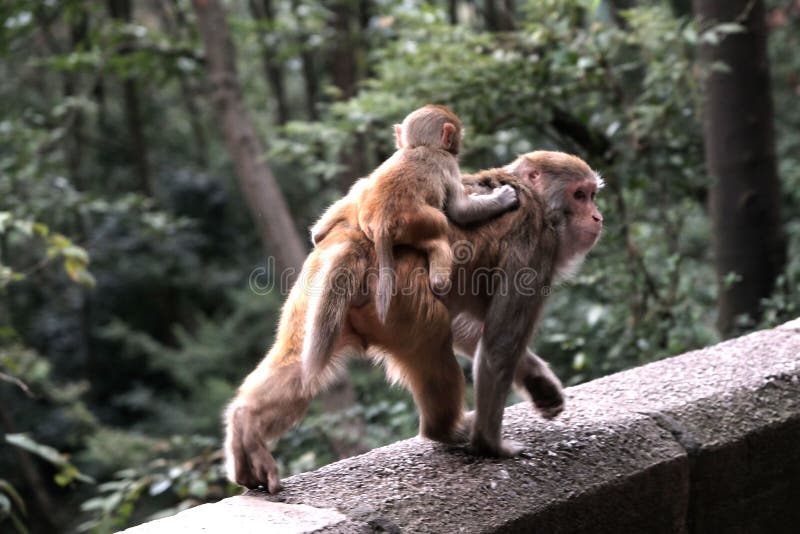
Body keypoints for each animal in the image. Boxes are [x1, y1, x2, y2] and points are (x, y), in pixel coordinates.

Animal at [224, 151, 603, 492]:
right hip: (404, 300)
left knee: (297, 367)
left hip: (315, 292)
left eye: (592, 194)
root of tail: (359, 244)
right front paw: (490, 445)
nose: (597, 216)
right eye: (579, 195)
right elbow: (499, 346)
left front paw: (541, 384)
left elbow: (468, 330)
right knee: (434, 344)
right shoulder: (535, 248)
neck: (537, 202)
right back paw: (447, 430)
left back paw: (246, 425)